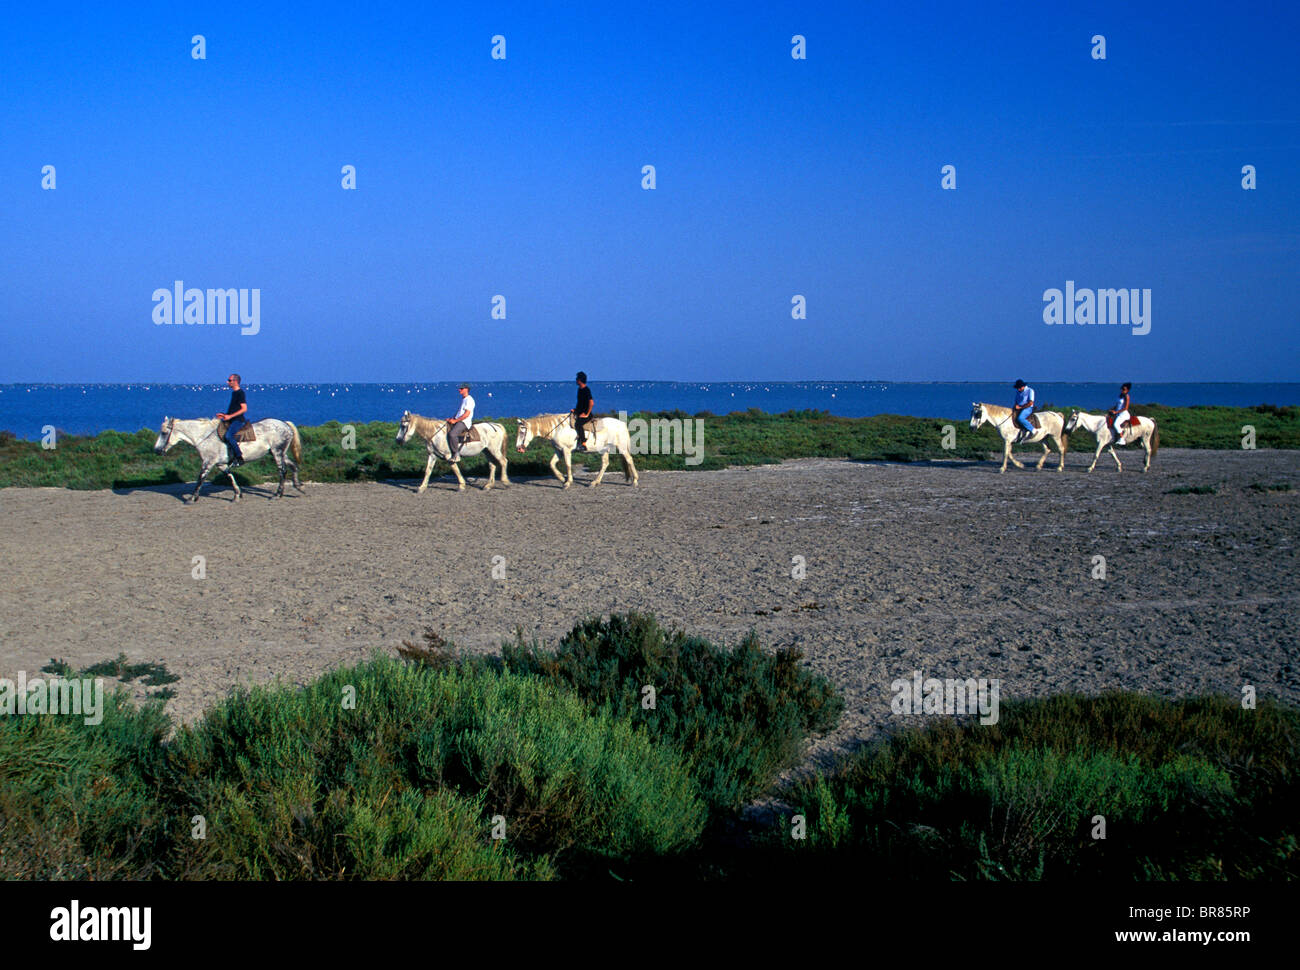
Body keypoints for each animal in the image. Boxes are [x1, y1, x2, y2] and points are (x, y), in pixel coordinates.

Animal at [153, 416, 303, 502]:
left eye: (164, 433)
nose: (157, 450)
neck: (205, 437)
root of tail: (285, 424)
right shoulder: (220, 464)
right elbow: (230, 477)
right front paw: (237, 495)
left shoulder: (208, 462)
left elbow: (200, 478)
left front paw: (191, 498)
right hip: (279, 453)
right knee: (293, 466)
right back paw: (298, 487)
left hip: (277, 453)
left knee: (282, 471)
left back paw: (277, 495)